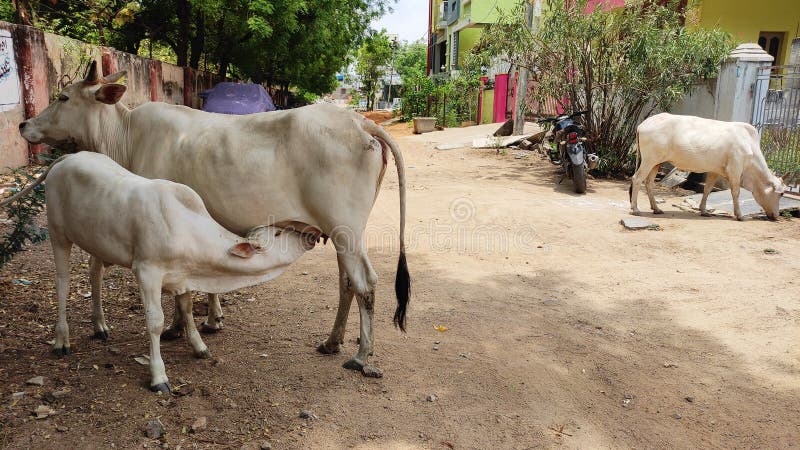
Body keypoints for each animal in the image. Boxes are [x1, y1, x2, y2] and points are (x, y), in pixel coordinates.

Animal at [44, 151, 316, 391]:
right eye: (278, 233)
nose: (310, 235)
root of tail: (67, 157)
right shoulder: (146, 271)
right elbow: (155, 322)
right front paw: (158, 375)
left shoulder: (182, 276)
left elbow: (187, 309)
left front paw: (199, 346)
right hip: (58, 234)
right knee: (62, 283)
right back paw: (61, 340)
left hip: (97, 241)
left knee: (95, 273)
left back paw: (99, 325)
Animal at [630, 113, 785, 220]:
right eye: (781, 194)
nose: (776, 216)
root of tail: (642, 124)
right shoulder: (734, 170)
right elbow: (736, 192)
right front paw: (739, 215)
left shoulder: (715, 171)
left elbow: (708, 189)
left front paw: (703, 210)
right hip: (649, 160)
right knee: (637, 179)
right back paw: (636, 209)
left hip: (656, 163)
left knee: (649, 183)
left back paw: (656, 208)